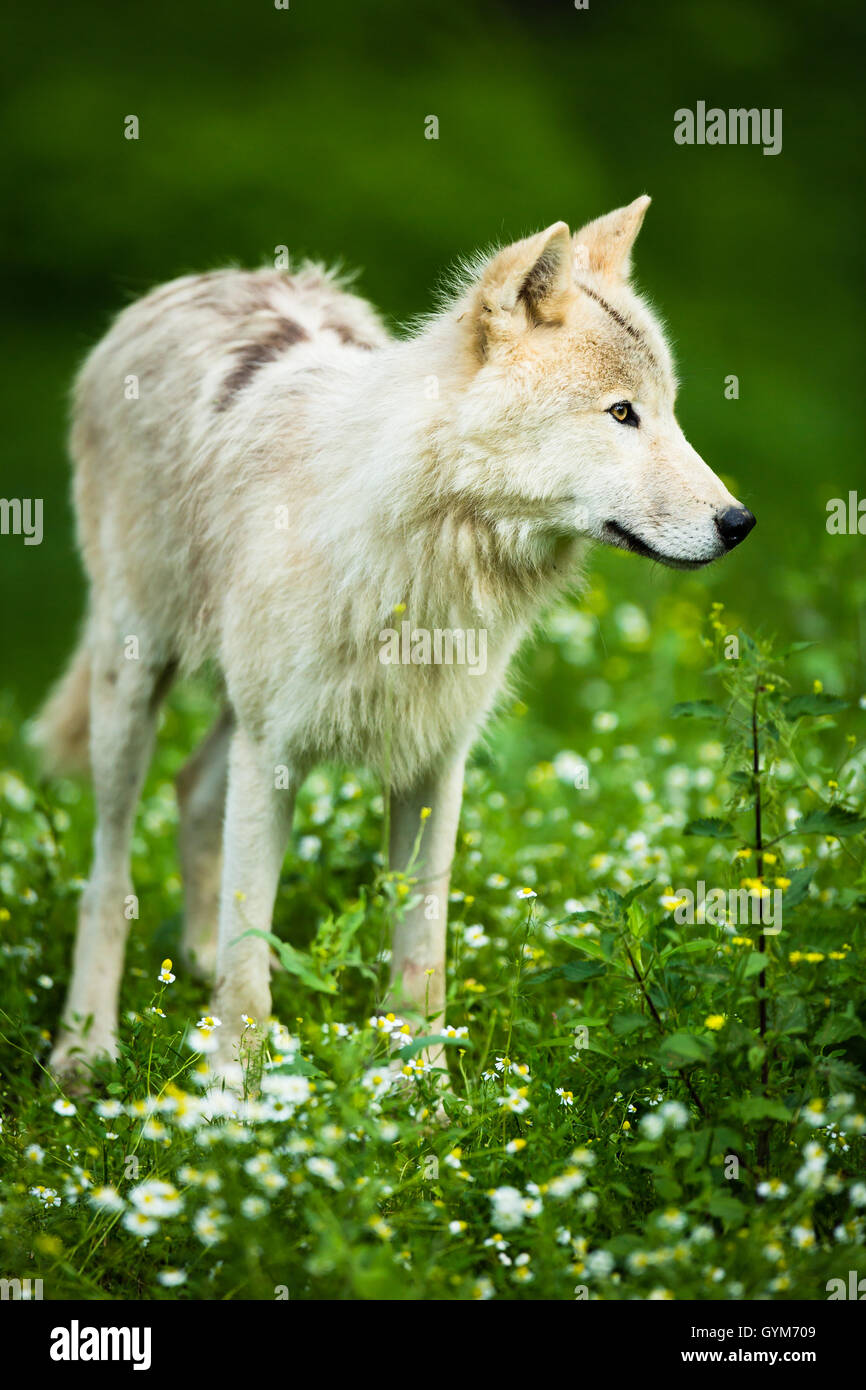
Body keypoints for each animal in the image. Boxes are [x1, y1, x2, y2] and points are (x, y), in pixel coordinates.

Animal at [36, 196, 755, 1083]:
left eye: (672, 412)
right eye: (623, 413)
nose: (740, 522)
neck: (422, 548)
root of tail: (198, 281)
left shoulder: (433, 762)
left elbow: (423, 956)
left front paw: (425, 1093)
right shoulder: (273, 752)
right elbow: (249, 974)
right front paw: (235, 1097)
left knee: (195, 790)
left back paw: (190, 973)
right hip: (133, 688)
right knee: (107, 871)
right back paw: (84, 1046)